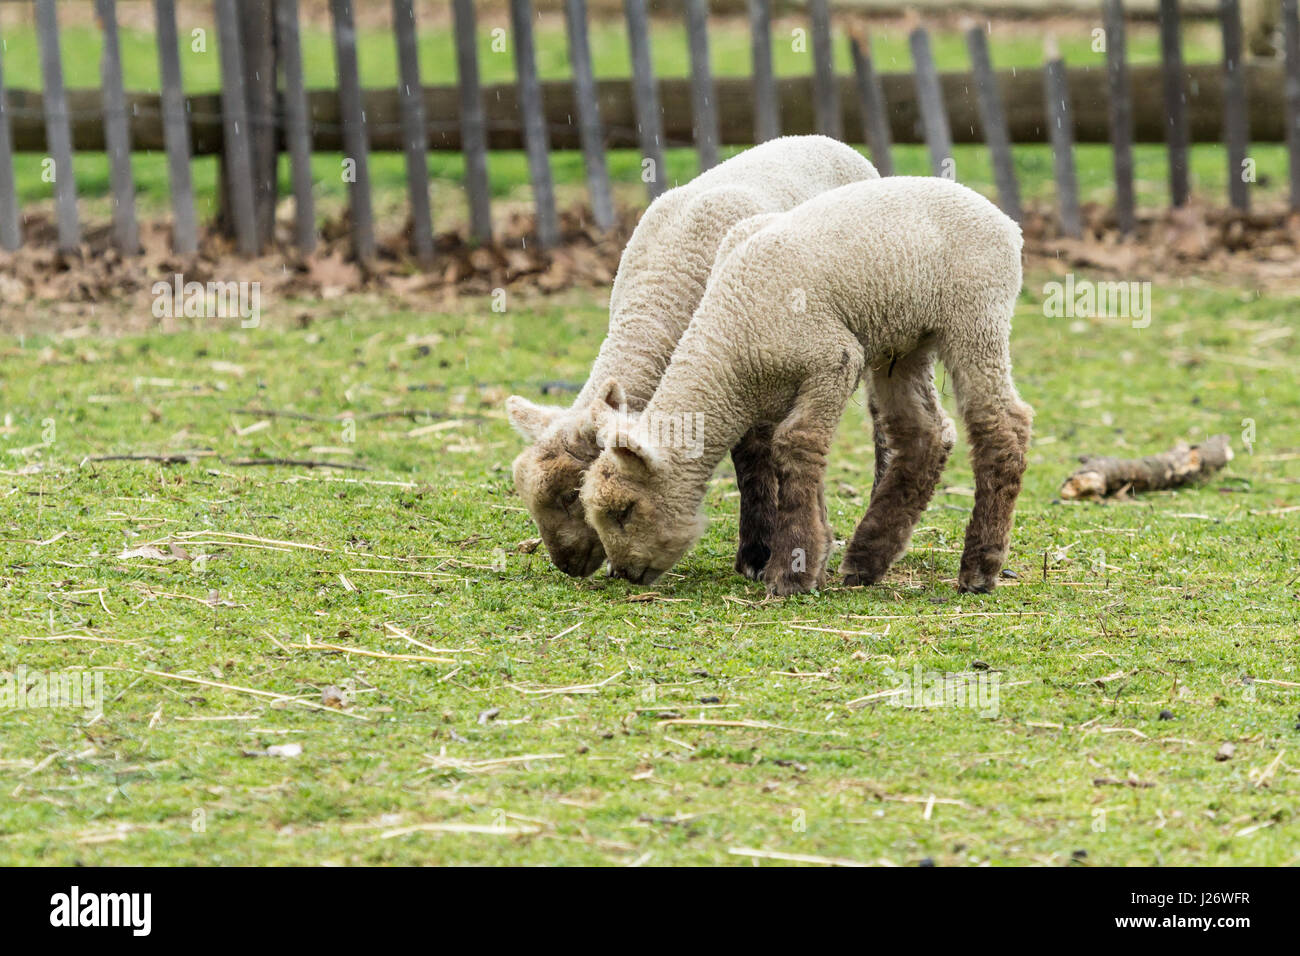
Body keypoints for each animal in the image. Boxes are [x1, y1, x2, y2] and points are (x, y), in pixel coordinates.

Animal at [506, 136, 880, 577]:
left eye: (571, 495)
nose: (566, 565)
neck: (664, 290)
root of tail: (821, 139)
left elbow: (752, 460)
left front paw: (756, 554)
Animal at [581, 176, 1033, 596]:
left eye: (625, 510)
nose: (623, 573)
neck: (731, 339)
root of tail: (1005, 221)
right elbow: (787, 456)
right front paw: (813, 558)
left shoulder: (833, 359)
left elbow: (797, 444)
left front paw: (791, 574)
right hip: (905, 340)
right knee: (923, 434)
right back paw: (866, 560)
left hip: (975, 315)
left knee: (1002, 426)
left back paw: (979, 568)